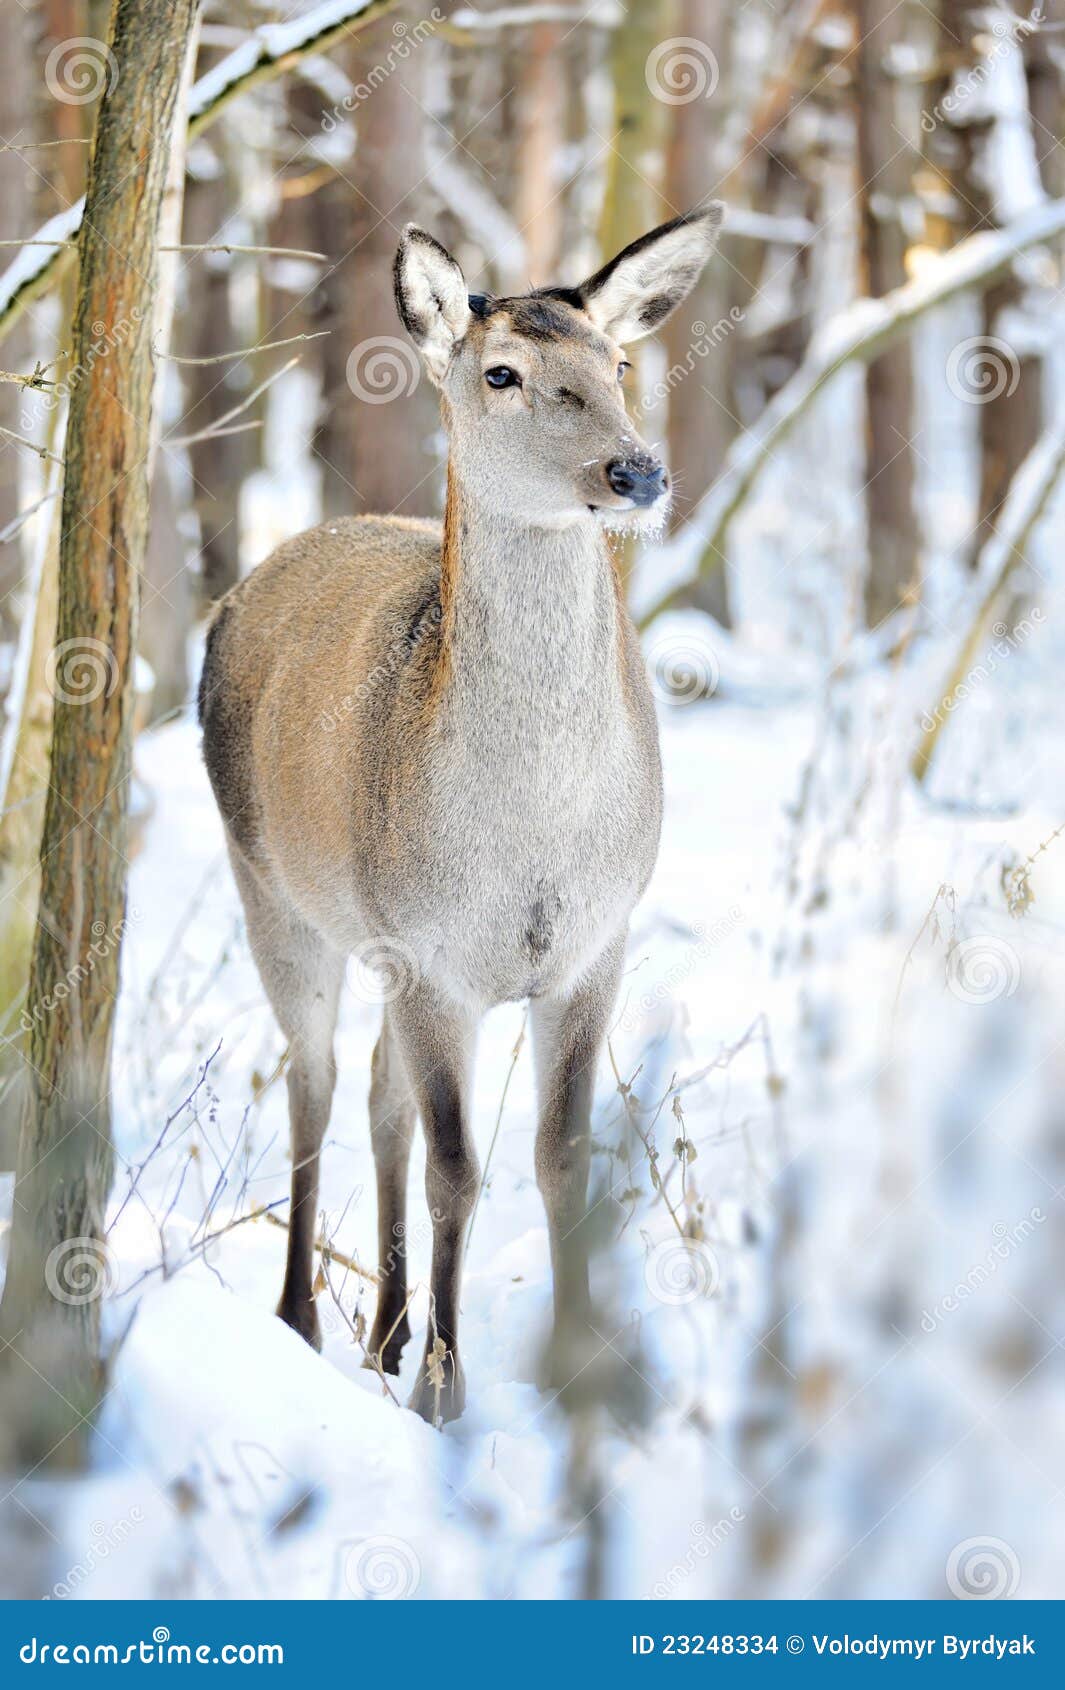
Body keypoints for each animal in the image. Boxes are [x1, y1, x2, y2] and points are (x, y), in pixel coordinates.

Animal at [198, 205, 723, 1424]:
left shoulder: (592, 942)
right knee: (313, 1082)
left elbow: (558, 1158)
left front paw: (575, 1370)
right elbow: (456, 1169)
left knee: (376, 1094)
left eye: (620, 364)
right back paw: (307, 1319)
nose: (637, 470)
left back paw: (385, 1330)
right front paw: (449, 1387)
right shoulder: (434, 955)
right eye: (502, 373)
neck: (529, 833)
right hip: (273, 889)